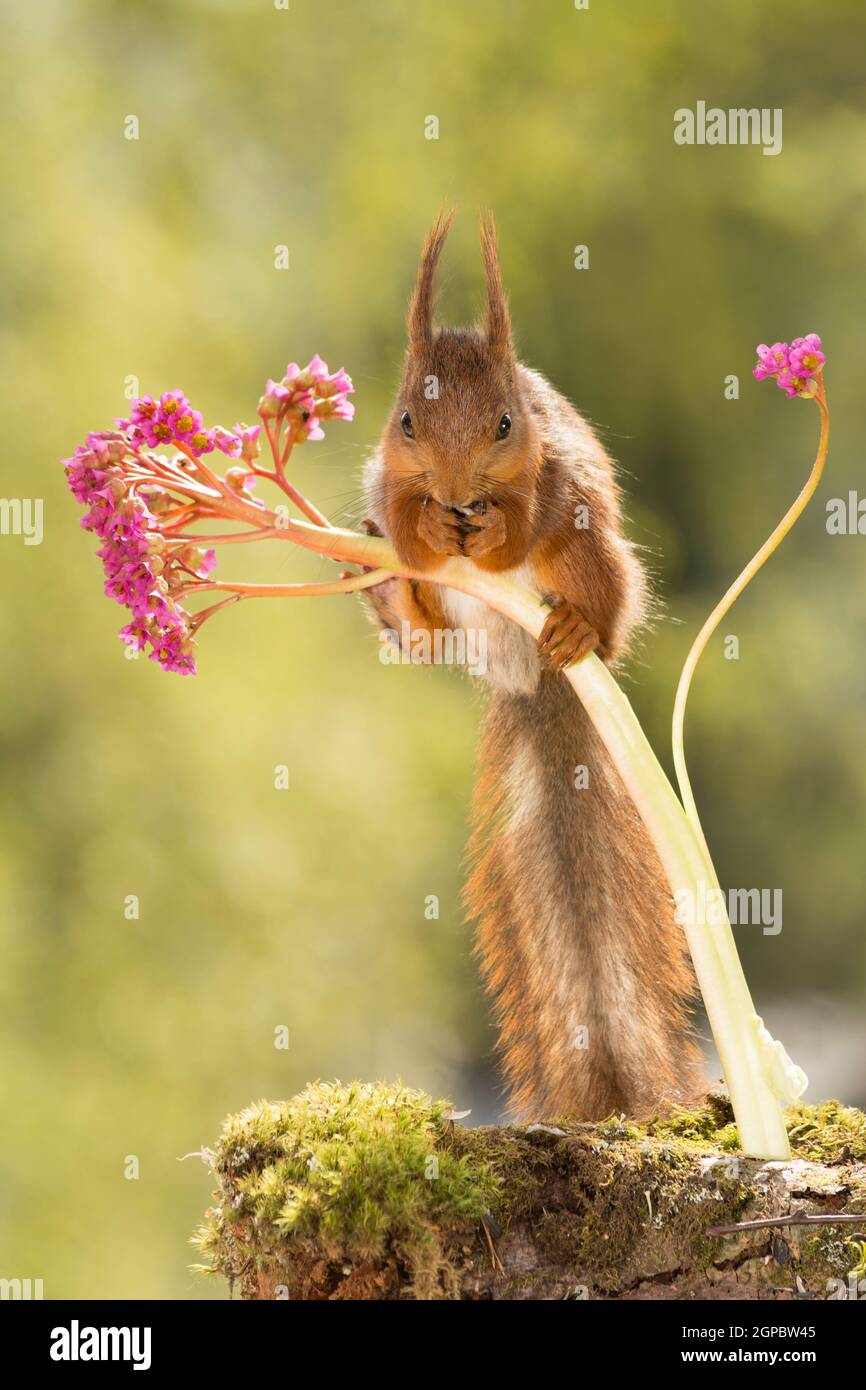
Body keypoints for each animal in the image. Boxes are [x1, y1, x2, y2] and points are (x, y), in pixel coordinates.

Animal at [362, 211, 707, 1120]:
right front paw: (428, 528)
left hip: (600, 557)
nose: (456, 492)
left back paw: (579, 631)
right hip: (447, 622)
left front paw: (491, 527)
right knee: (423, 633)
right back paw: (393, 596)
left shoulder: (557, 471)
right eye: (405, 420)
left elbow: (531, 512)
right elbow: (396, 512)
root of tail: (526, 667)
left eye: (508, 423)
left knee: (600, 600)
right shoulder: (384, 475)